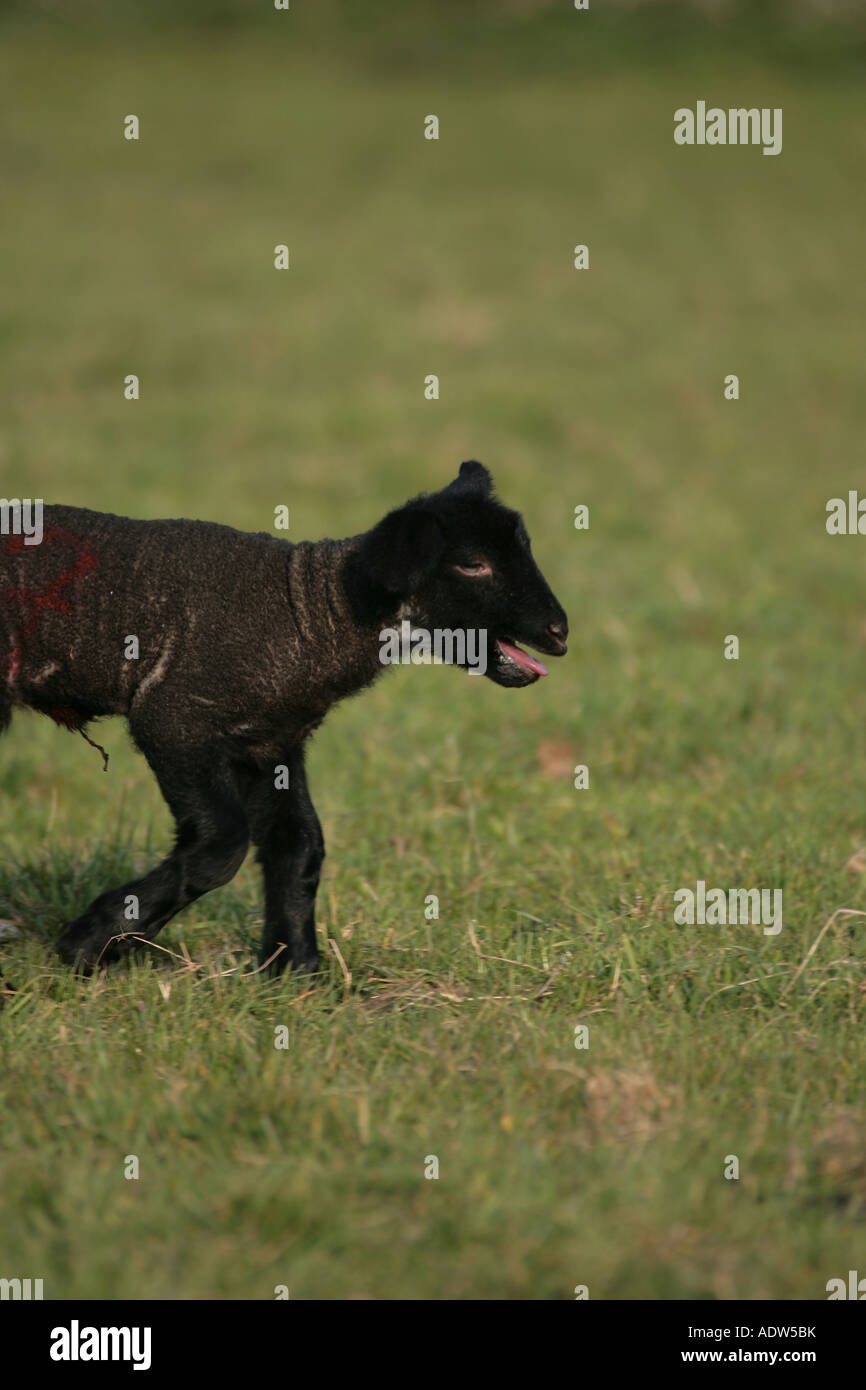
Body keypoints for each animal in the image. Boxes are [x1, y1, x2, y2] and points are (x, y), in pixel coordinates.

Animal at [0, 461, 568, 976]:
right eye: (473, 565)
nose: (559, 631)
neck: (312, 615)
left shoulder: (269, 742)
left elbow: (299, 847)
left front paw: (295, 971)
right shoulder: (174, 717)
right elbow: (223, 846)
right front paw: (90, 941)